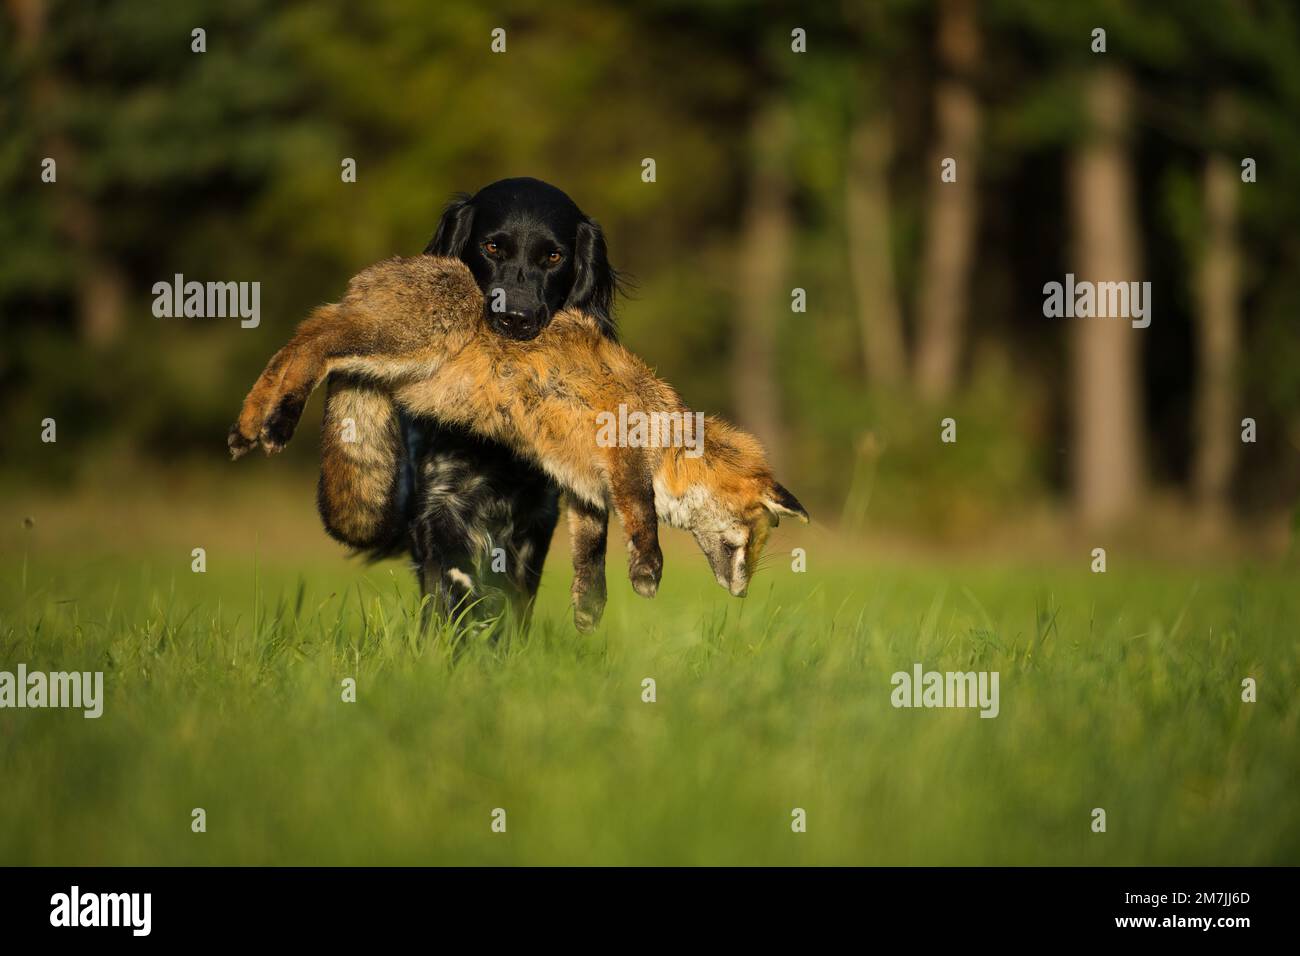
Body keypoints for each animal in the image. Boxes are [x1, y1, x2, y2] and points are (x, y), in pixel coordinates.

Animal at [228, 255, 808, 629]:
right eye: (753, 537)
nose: (743, 593)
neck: (667, 439)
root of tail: (382, 268)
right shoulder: (622, 457)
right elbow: (643, 517)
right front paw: (647, 570)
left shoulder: (586, 486)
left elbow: (590, 552)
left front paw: (588, 606)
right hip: (410, 340)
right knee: (312, 336)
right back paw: (272, 420)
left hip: (377, 368)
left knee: (313, 343)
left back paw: (254, 422)